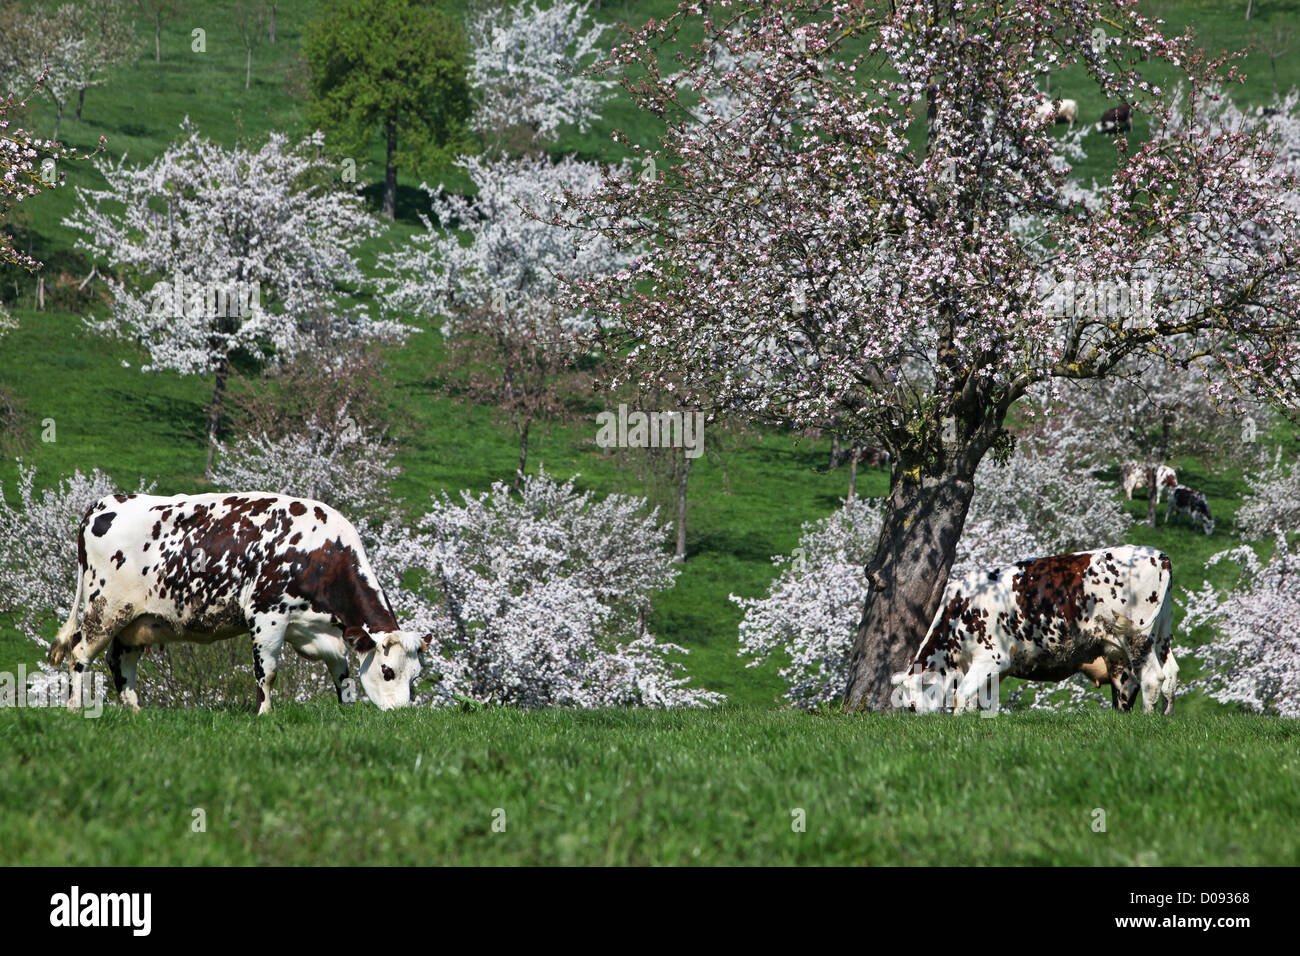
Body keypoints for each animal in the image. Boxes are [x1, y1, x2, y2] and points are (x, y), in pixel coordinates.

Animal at [47, 493, 429, 714]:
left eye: (416, 676)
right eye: (388, 671)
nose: (400, 713)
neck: (321, 553)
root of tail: (107, 502)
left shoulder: (313, 629)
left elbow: (341, 669)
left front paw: (346, 709)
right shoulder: (266, 614)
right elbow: (267, 672)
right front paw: (264, 715)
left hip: (136, 620)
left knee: (120, 661)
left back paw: (135, 711)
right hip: (105, 609)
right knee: (80, 653)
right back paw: (74, 709)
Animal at [892, 545, 1177, 715]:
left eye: (910, 706)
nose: (915, 716)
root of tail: (1158, 555)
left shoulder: (992, 659)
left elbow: (961, 696)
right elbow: (979, 700)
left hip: (1137, 636)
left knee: (1153, 678)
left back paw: (1147, 718)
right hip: (1161, 634)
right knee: (1171, 674)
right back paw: (1165, 716)